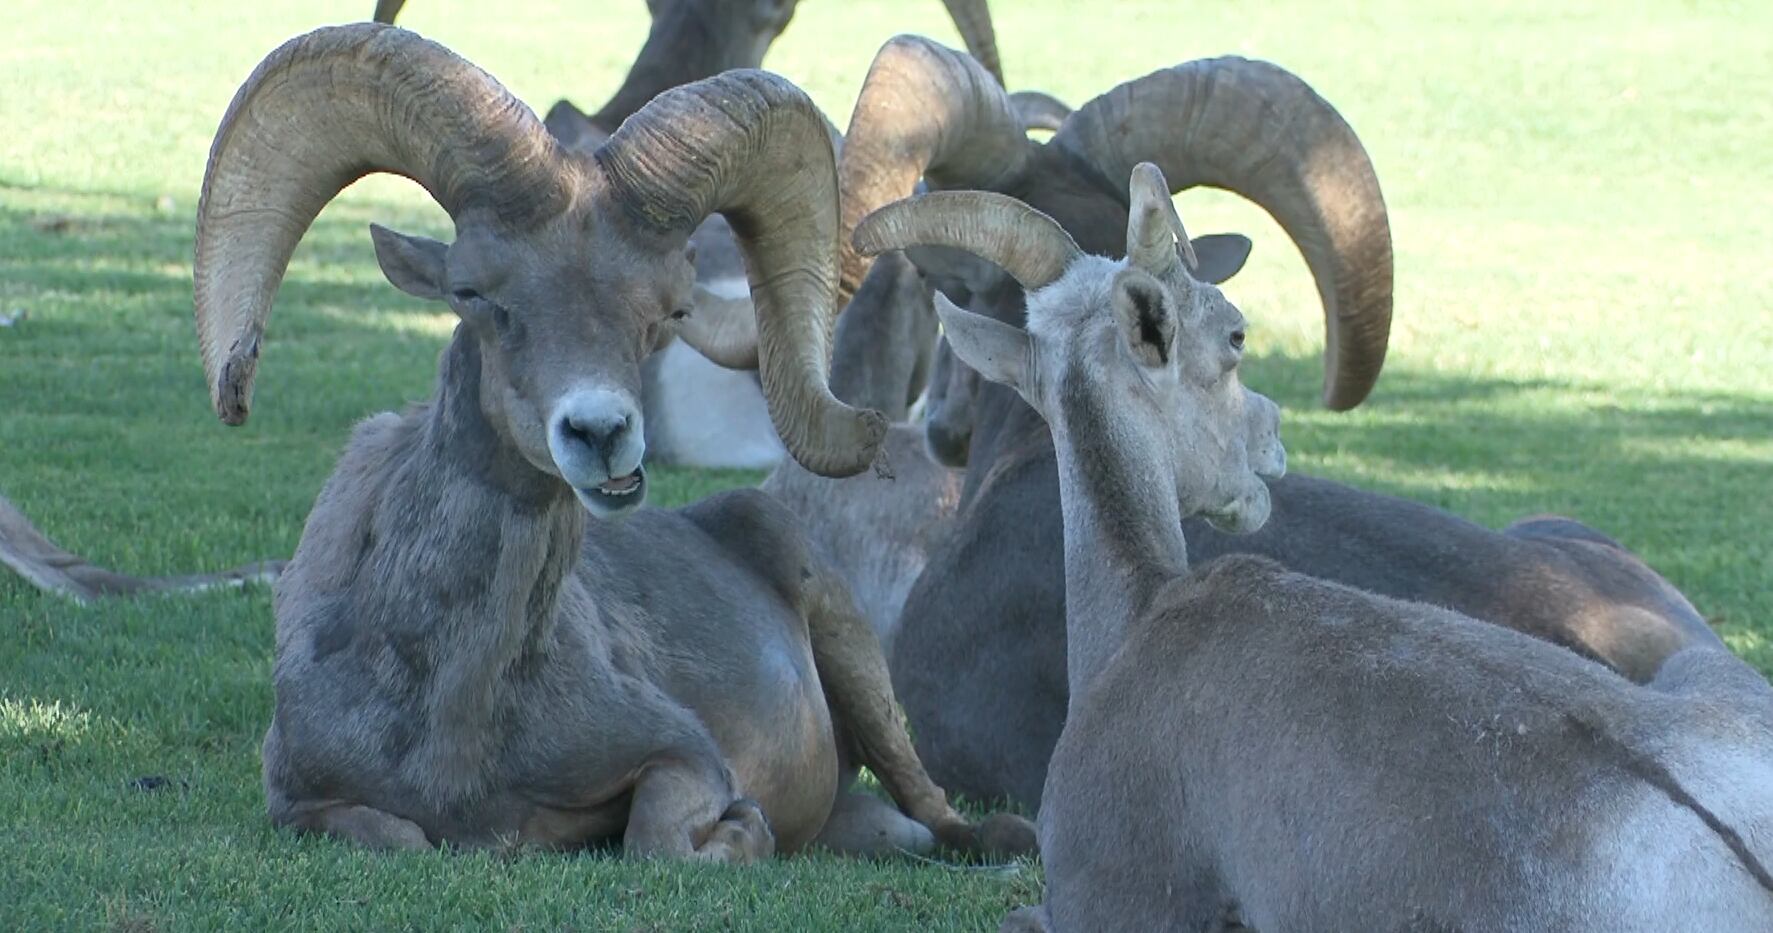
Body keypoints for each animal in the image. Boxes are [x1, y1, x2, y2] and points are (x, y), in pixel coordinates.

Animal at [196, 24, 1031, 859]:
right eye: (474, 294)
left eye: (668, 311)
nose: (600, 433)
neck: (453, 712)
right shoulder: (302, 801)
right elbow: (398, 834)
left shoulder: (680, 754)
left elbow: (656, 836)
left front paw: (743, 830)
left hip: (851, 648)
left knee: (939, 812)